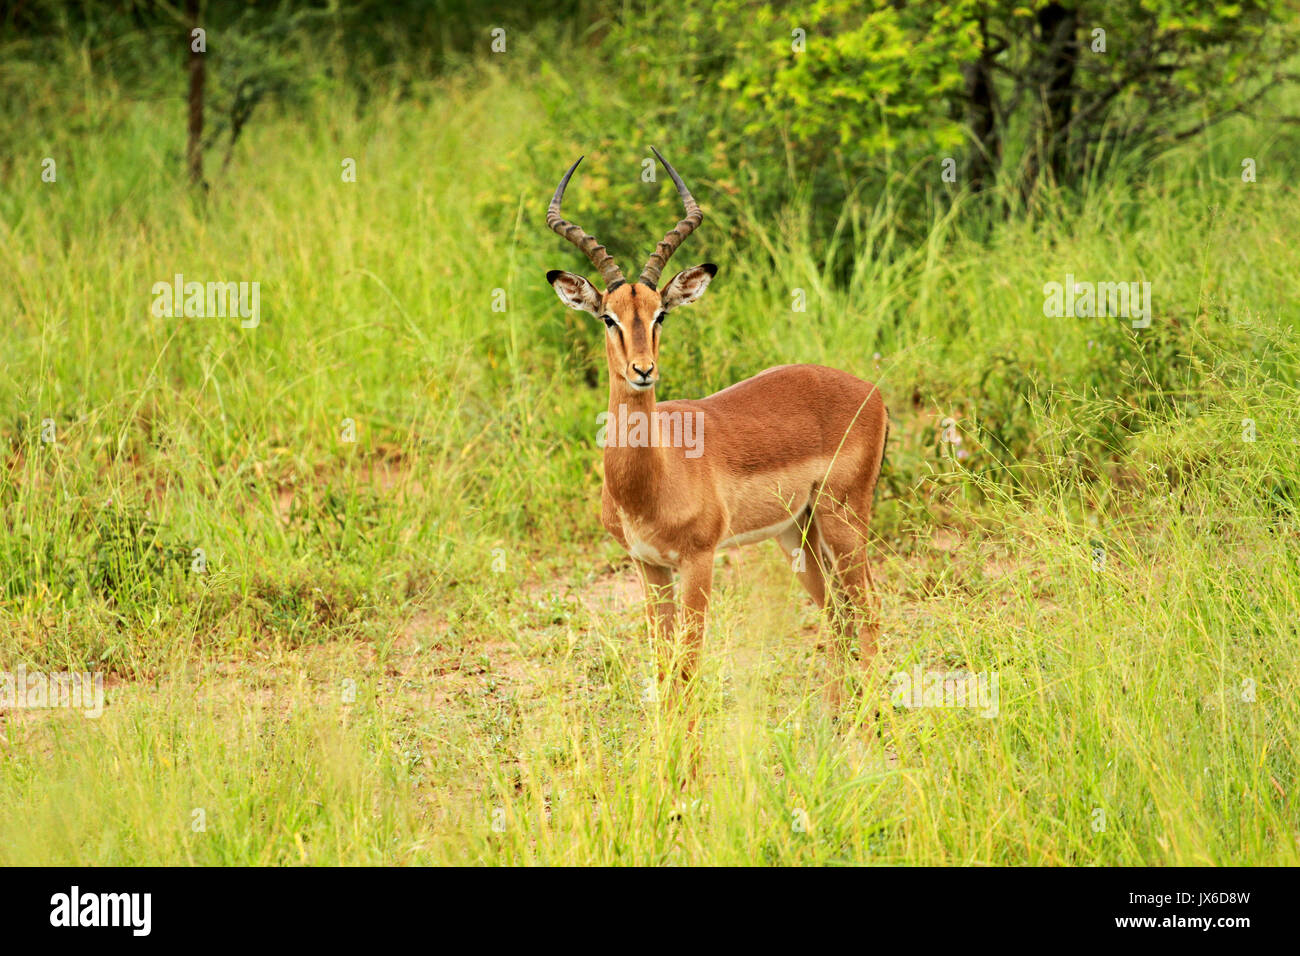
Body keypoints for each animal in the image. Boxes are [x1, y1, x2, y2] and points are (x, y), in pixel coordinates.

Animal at [546, 148, 889, 708]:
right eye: (608, 318)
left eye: (660, 314)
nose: (643, 370)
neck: (650, 478)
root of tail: (871, 390)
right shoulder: (648, 565)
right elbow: (664, 664)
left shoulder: (698, 560)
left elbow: (688, 666)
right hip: (797, 532)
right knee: (837, 614)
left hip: (844, 520)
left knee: (869, 609)